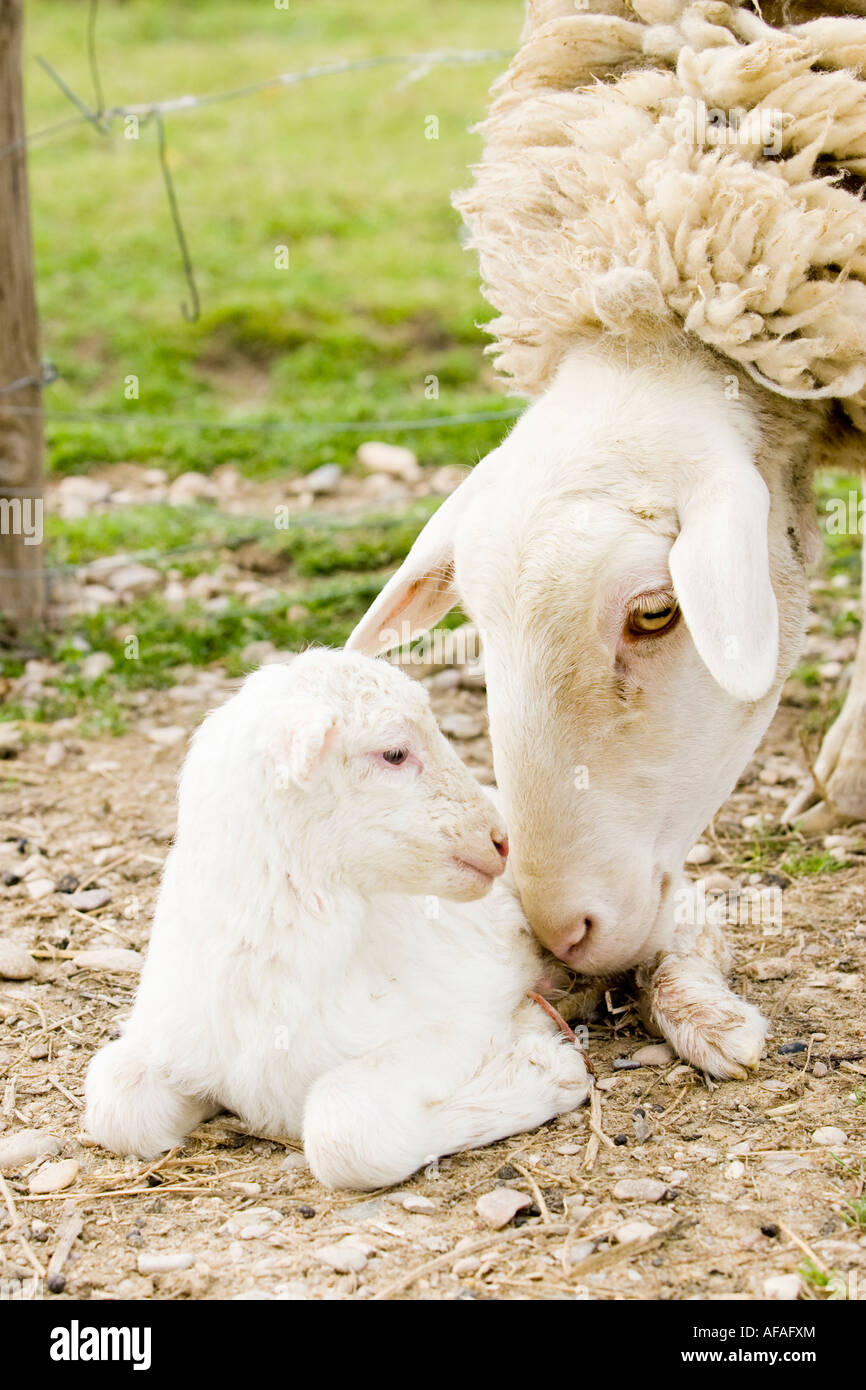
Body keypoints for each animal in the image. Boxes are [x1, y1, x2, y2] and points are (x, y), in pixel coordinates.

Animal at [83, 650, 589, 1190]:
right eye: (394, 754)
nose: (500, 840)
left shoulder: (469, 1013)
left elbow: (342, 1130)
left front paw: (541, 1069)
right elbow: (117, 1104)